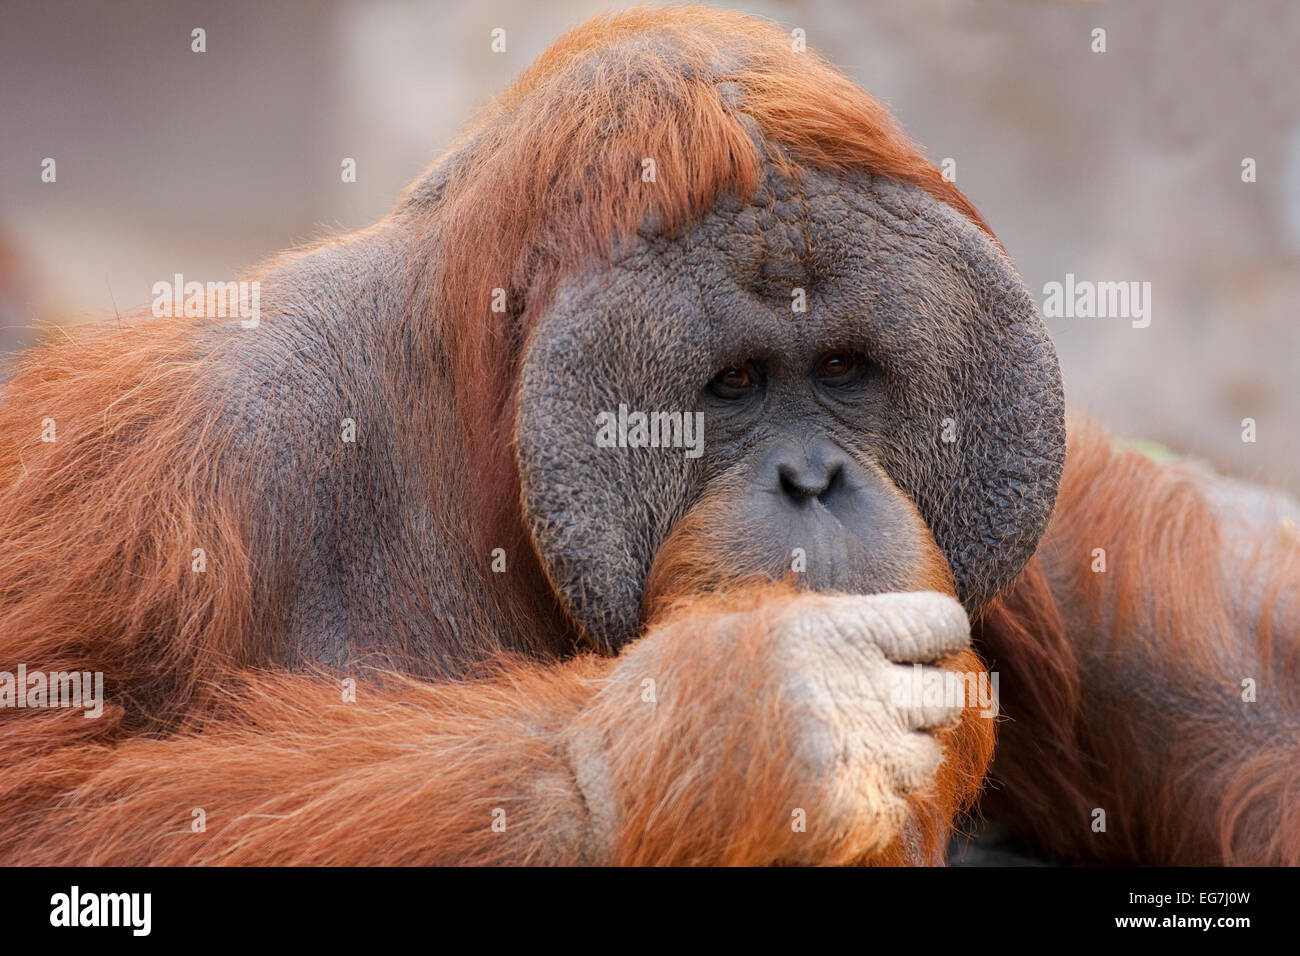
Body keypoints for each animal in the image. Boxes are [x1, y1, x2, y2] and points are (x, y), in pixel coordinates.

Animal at [0, 7, 1294, 866]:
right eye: (731, 385)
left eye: (841, 371)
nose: (813, 476)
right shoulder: (170, 456)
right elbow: (50, 798)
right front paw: (733, 728)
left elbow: (1240, 670)